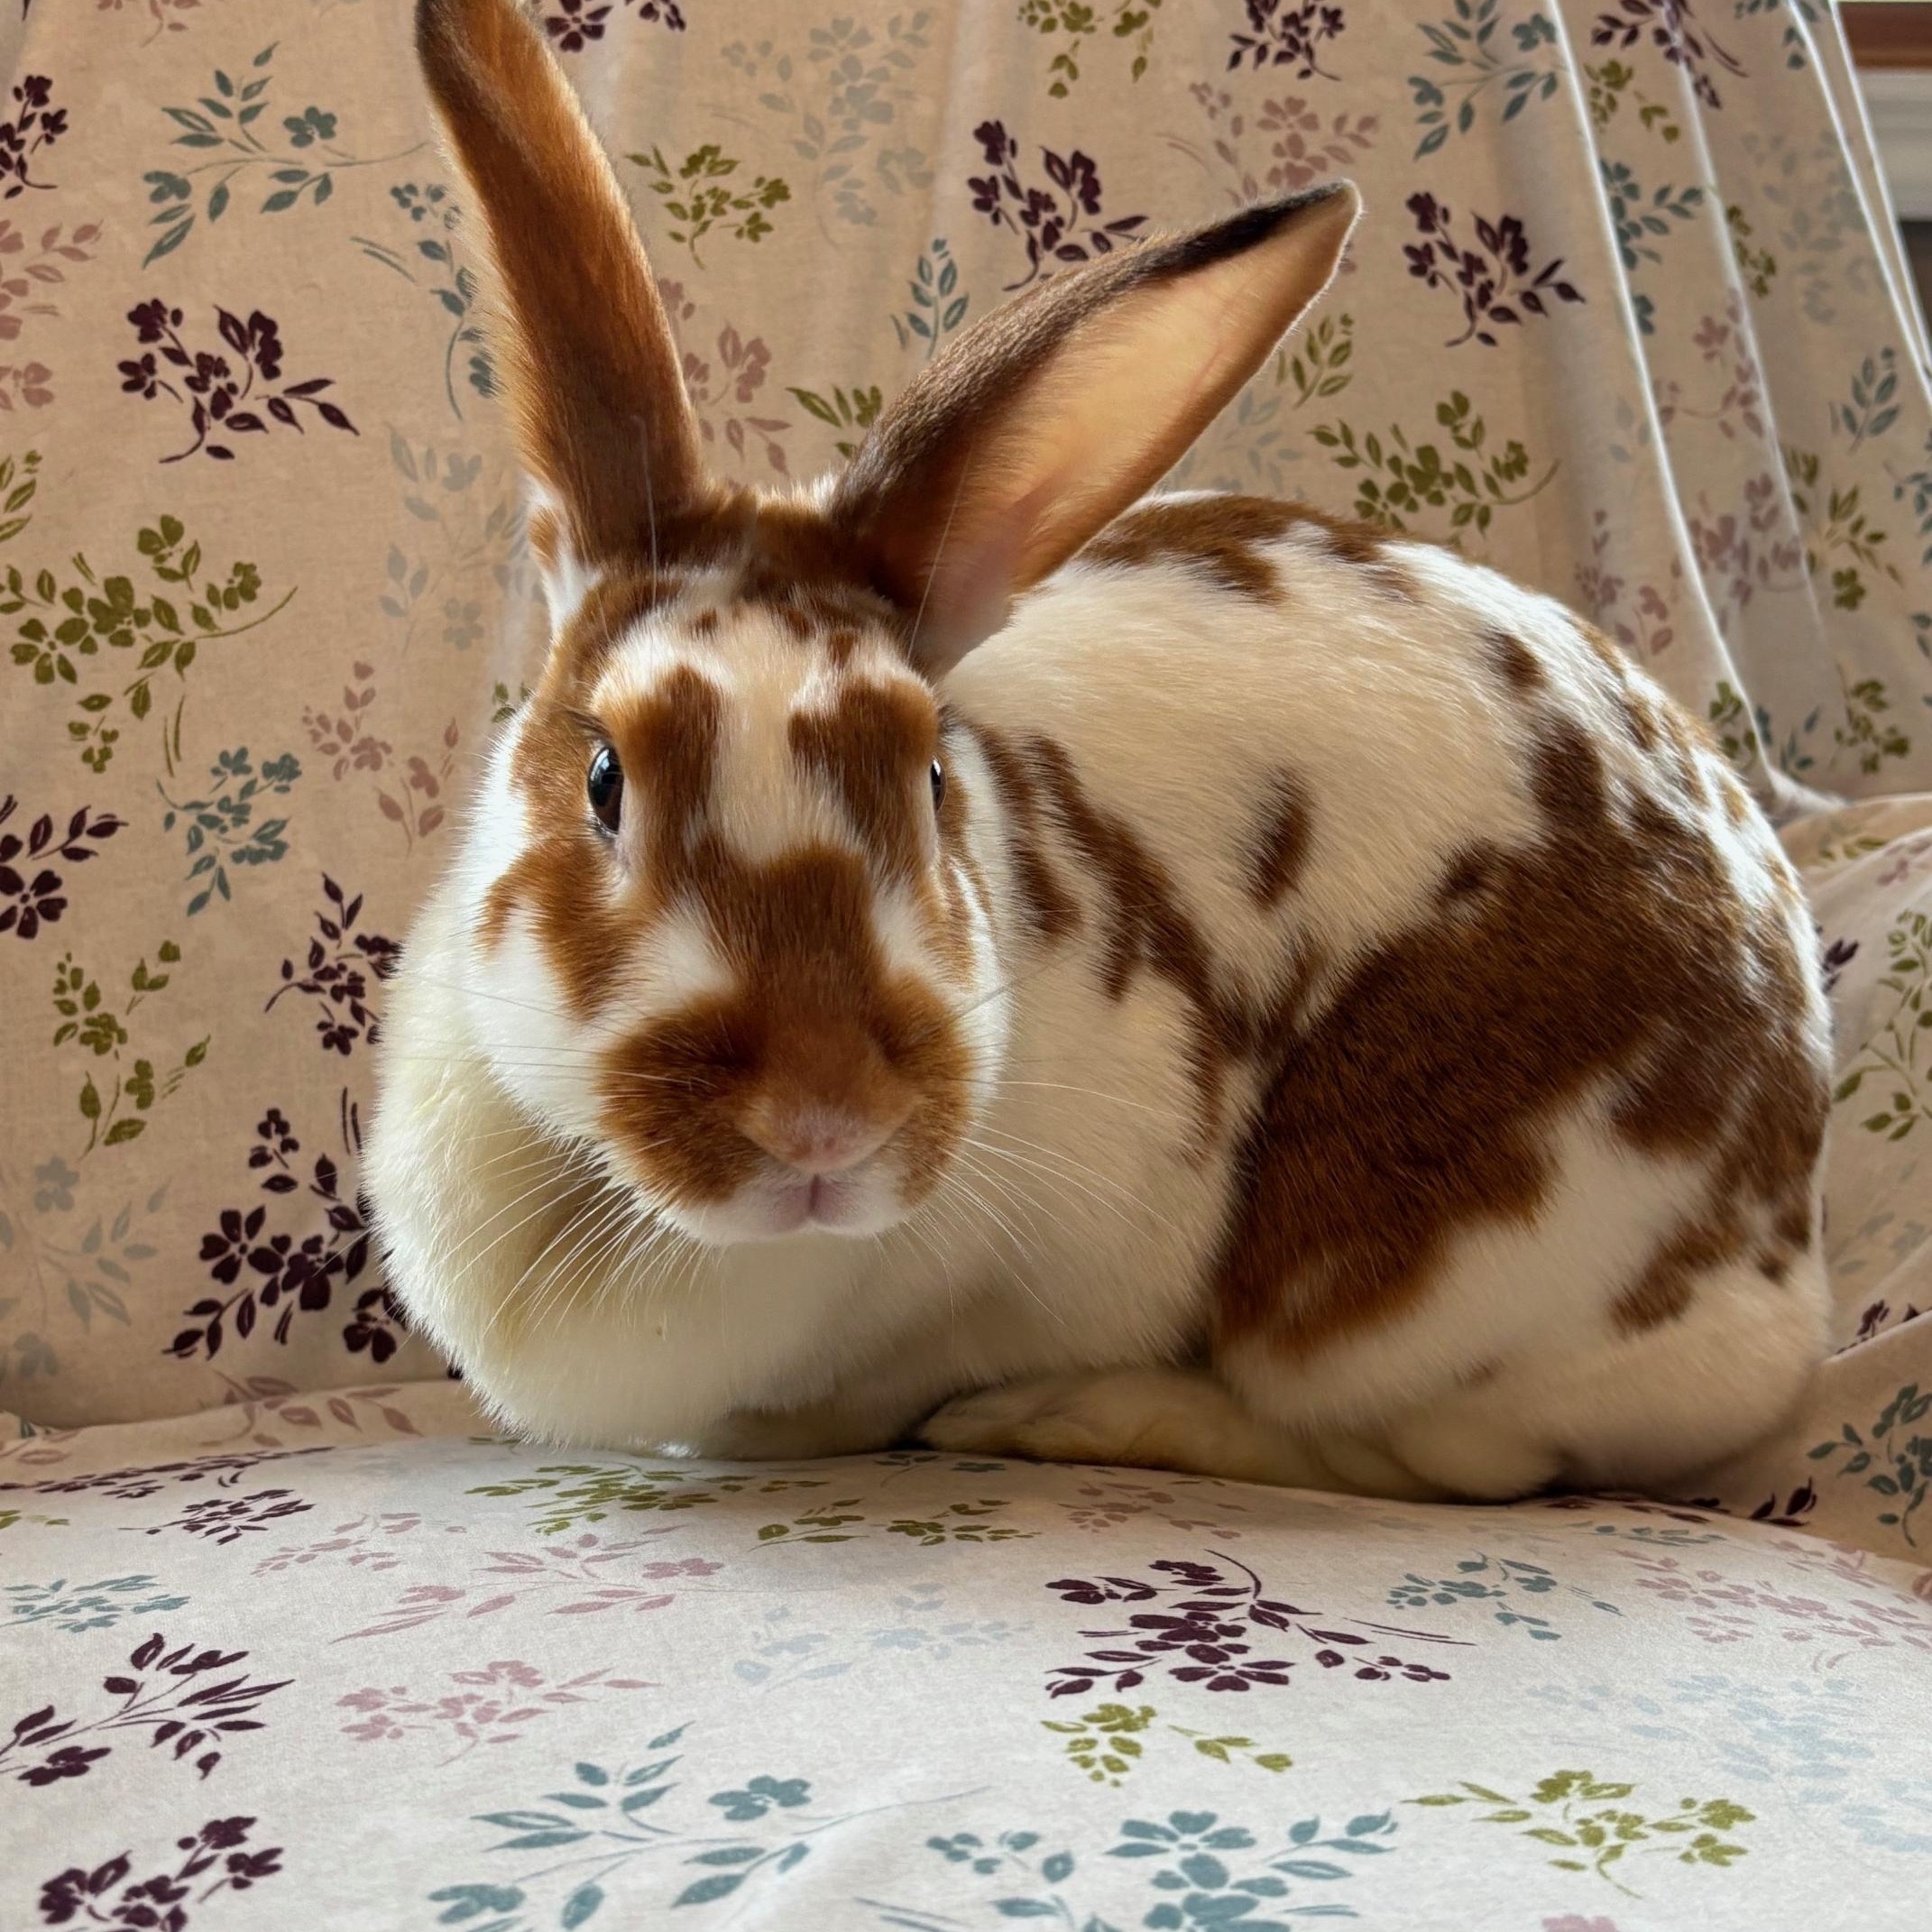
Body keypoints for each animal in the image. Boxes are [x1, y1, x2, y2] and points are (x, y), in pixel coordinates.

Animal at [365, 0, 1833, 1504]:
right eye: (605, 778)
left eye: (930, 779)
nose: (825, 1121)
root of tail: (1783, 1256)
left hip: (1422, 1275)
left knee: (1429, 1452)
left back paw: (1083, 1416)